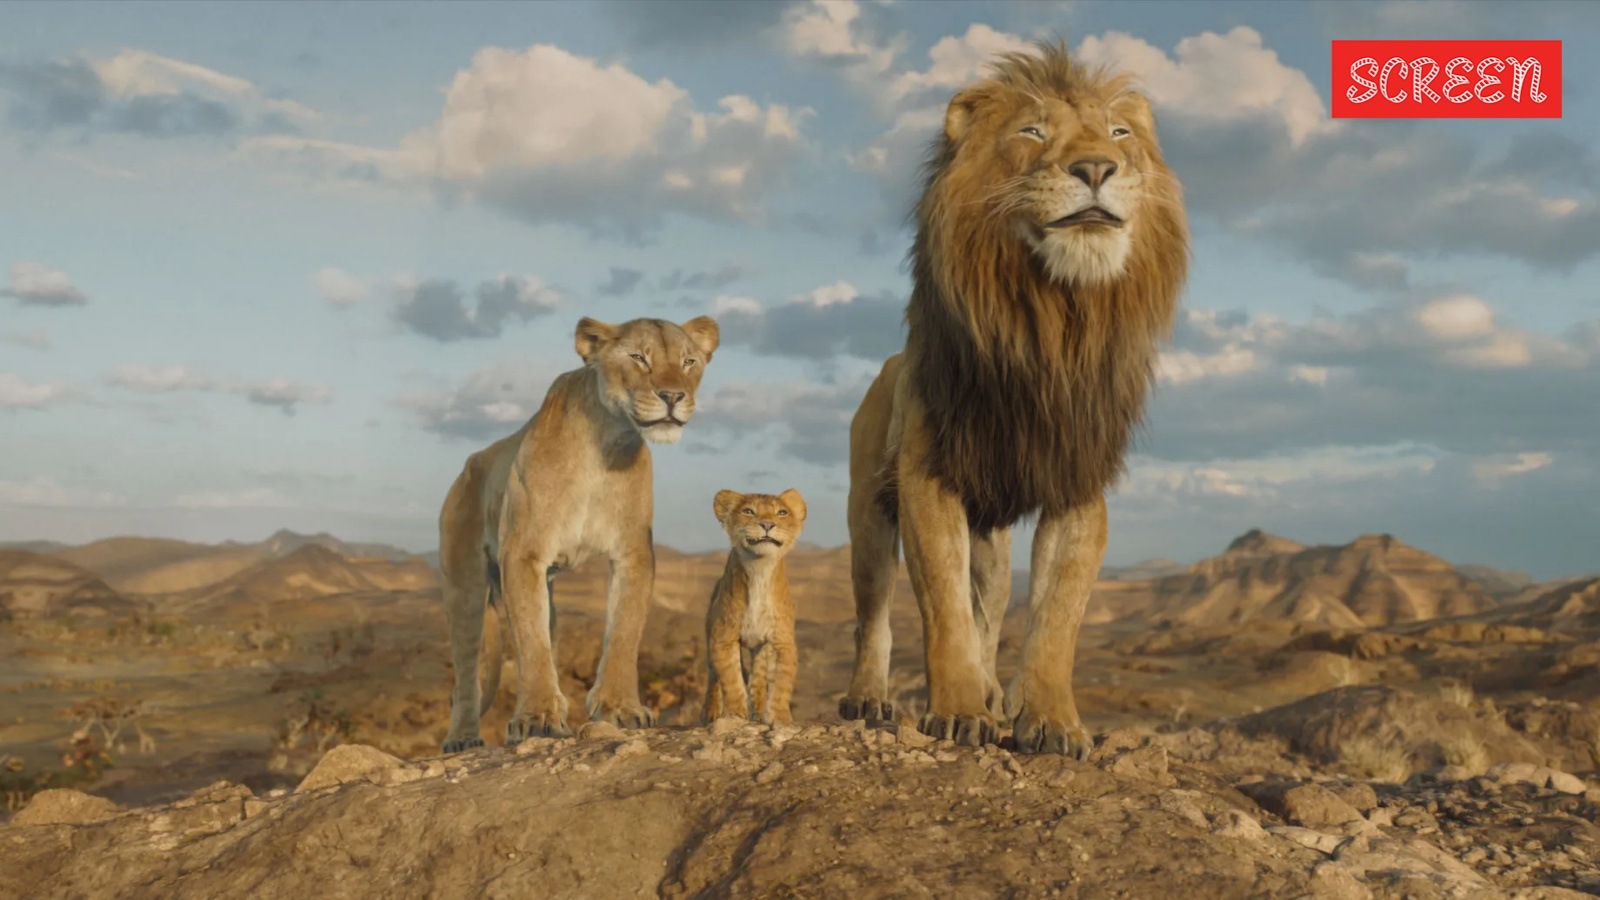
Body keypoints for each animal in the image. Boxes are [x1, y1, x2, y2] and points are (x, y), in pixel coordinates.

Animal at [438, 315, 720, 752]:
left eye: (689, 361)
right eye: (639, 358)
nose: (673, 396)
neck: (605, 443)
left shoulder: (633, 552)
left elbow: (623, 632)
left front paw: (620, 708)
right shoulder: (523, 553)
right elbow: (532, 643)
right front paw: (537, 717)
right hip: (464, 585)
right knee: (467, 672)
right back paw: (462, 738)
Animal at [702, 488, 807, 726]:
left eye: (782, 512)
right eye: (749, 511)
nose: (767, 524)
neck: (760, 569)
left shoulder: (781, 641)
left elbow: (781, 684)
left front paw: (779, 718)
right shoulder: (723, 638)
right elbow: (731, 681)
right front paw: (735, 716)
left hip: (761, 648)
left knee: (758, 678)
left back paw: (758, 711)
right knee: (713, 676)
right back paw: (710, 713)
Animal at [839, 42, 1189, 755]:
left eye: (1120, 134)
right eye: (1032, 132)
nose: (1096, 168)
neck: (1052, 322)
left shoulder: (1077, 482)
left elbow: (1056, 619)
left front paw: (1051, 722)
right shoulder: (928, 478)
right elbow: (943, 611)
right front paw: (957, 711)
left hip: (992, 544)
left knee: (991, 612)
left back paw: (995, 694)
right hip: (867, 513)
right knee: (874, 614)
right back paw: (869, 699)